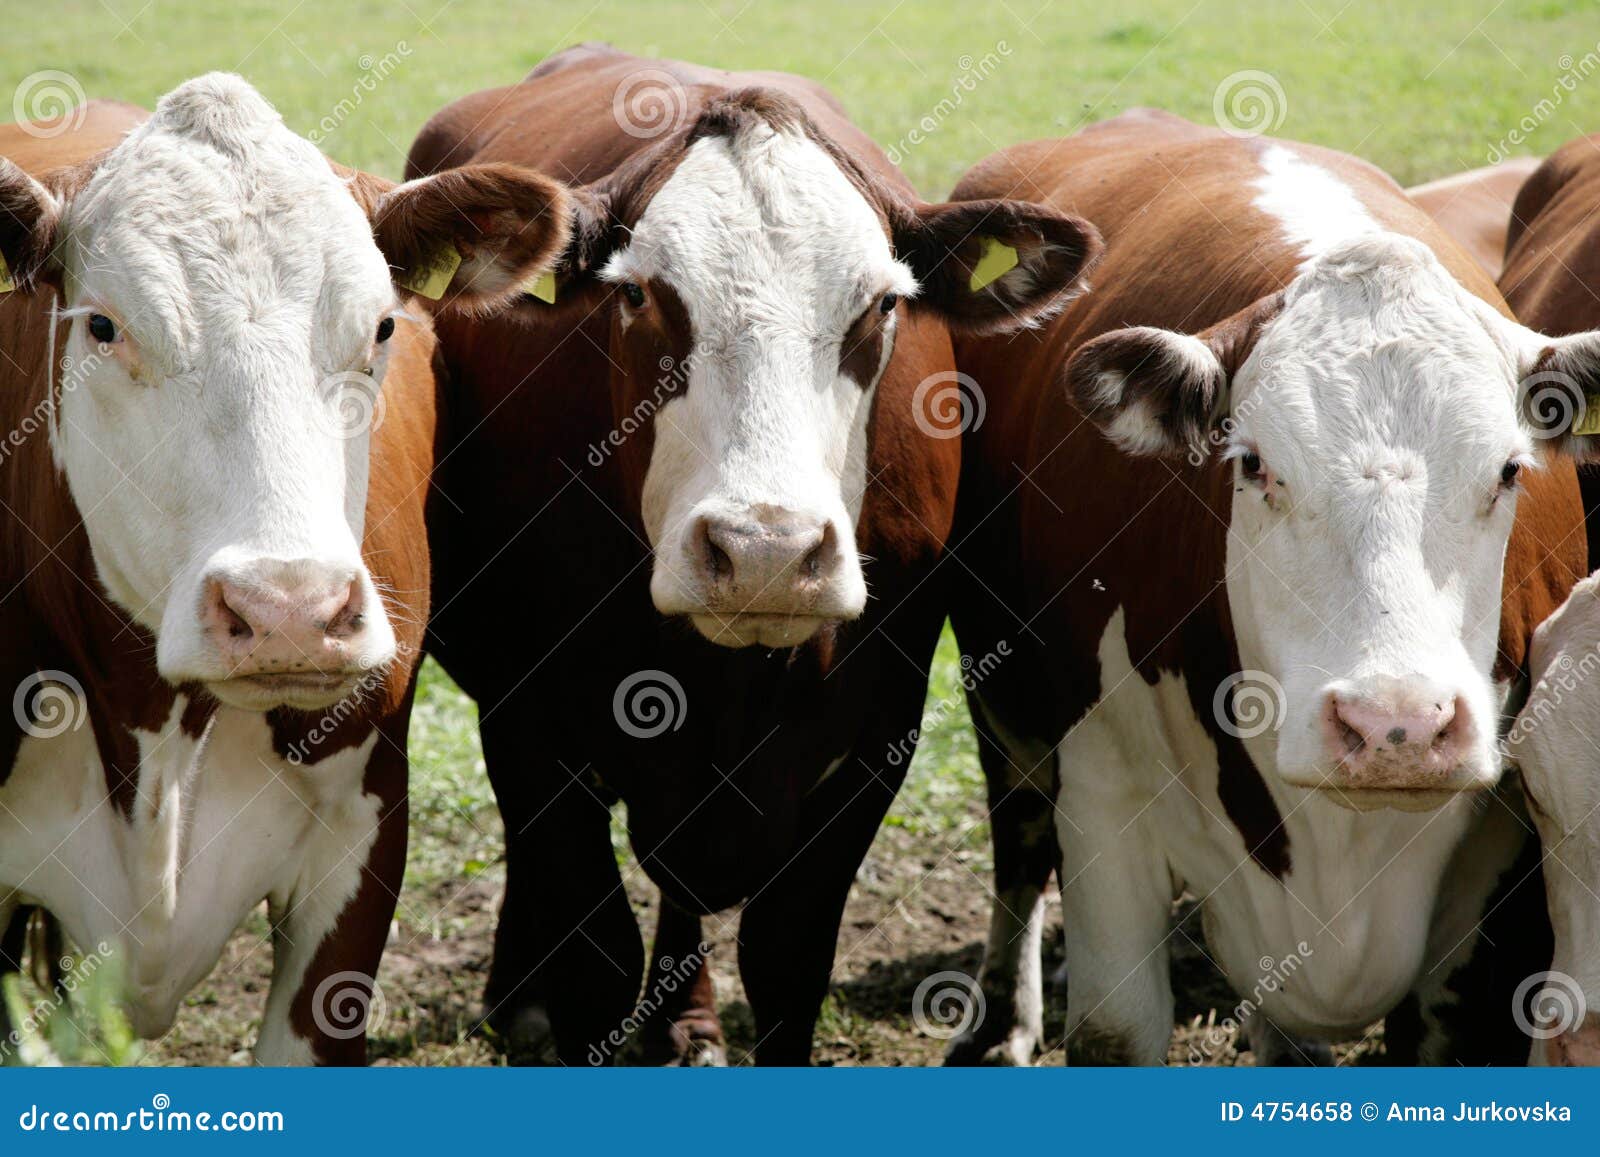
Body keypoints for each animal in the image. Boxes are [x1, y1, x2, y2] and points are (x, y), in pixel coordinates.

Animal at [403, 43, 1100, 1065]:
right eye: (638, 294)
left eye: (882, 304)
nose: (767, 551)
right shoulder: (527, 724)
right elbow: (595, 958)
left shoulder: (870, 739)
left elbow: (785, 959)